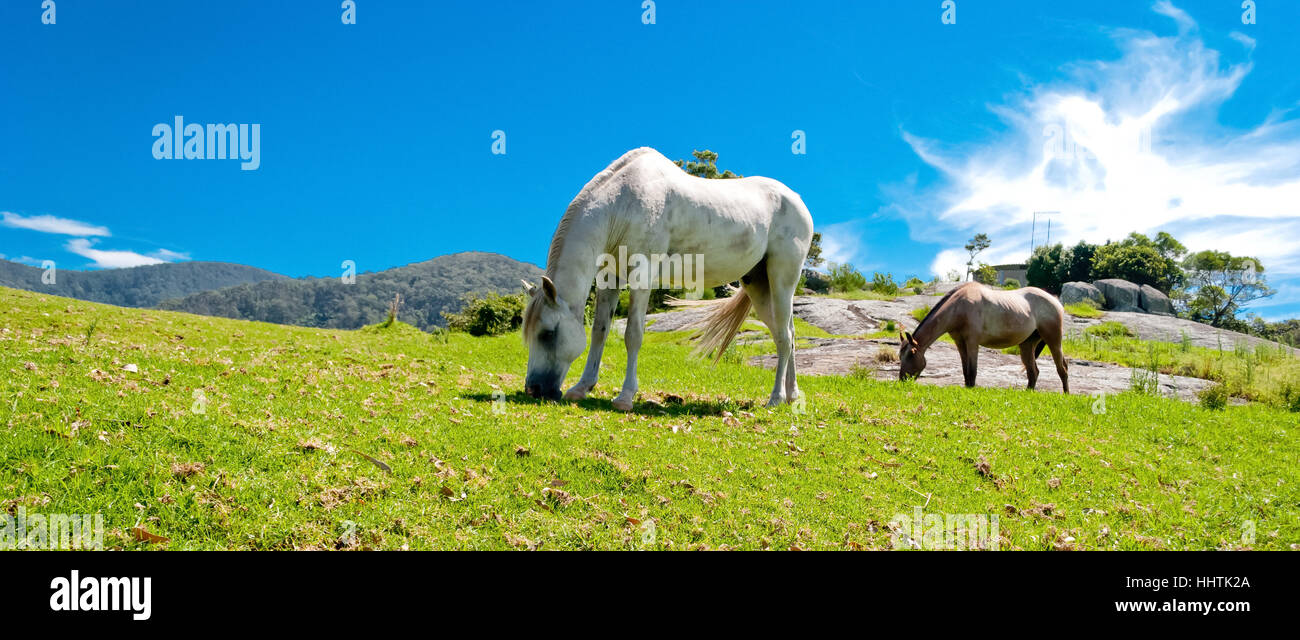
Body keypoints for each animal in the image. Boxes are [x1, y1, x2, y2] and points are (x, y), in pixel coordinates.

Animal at [521, 147, 814, 411]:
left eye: (548, 333)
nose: (534, 390)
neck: (623, 203)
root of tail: (797, 200)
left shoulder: (642, 275)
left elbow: (633, 334)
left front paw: (625, 397)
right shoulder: (610, 279)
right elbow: (599, 332)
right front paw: (582, 387)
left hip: (782, 281)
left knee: (784, 337)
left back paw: (775, 398)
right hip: (758, 286)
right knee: (787, 335)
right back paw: (792, 395)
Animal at [898, 282, 1069, 392]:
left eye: (911, 354)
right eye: (900, 356)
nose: (902, 380)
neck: (959, 307)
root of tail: (1055, 300)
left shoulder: (972, 342)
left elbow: (972, 370)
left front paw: (972, 389)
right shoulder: (960, 343)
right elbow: (965, 370)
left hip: (1053, 340)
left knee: (1062, 369)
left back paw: (1066, 394)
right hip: (1027, 345)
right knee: (1033, 372)